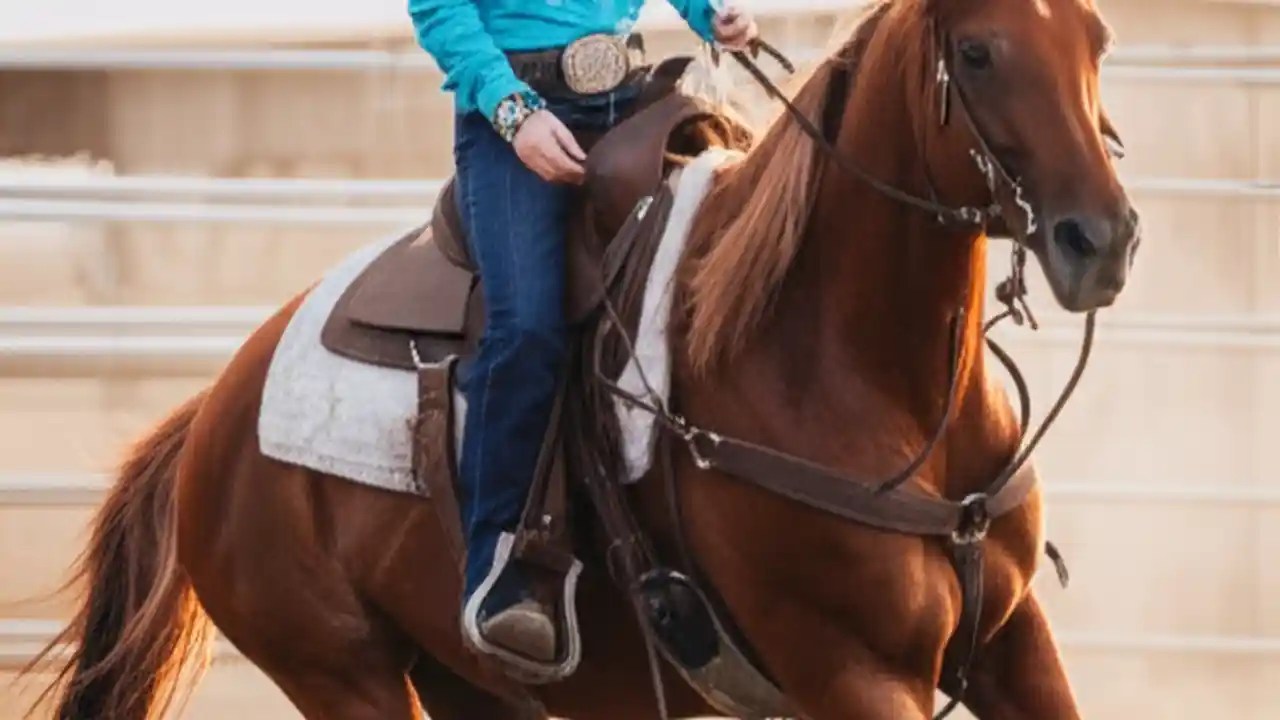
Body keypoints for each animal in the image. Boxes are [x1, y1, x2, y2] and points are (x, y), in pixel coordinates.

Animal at [22, 0, 1140, 717]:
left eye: (1095, 35)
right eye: (981, 52)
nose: (1102, 240)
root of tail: (210, 415)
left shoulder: (1012, 648)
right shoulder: (853, 672)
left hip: (469, 686)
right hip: (342, 672)